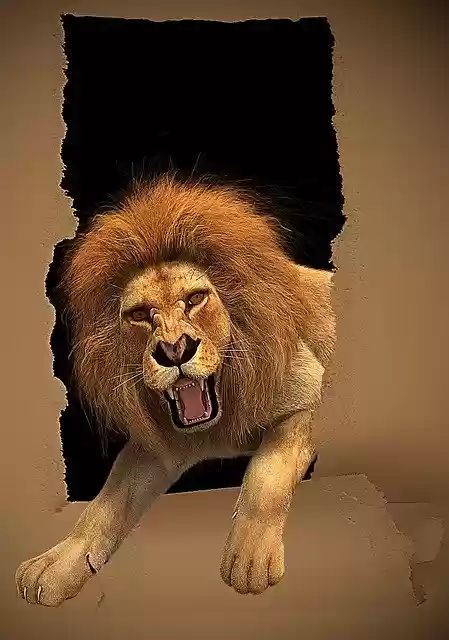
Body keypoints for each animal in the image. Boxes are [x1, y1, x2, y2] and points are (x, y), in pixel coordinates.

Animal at [15, 173, 336, 606]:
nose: (174, 350)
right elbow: (105, 505)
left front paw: (248, 559)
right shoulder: (158, 446)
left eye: (196, 298)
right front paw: (55, 563)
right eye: (139, 314)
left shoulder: (310, 398)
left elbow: (266, 473)